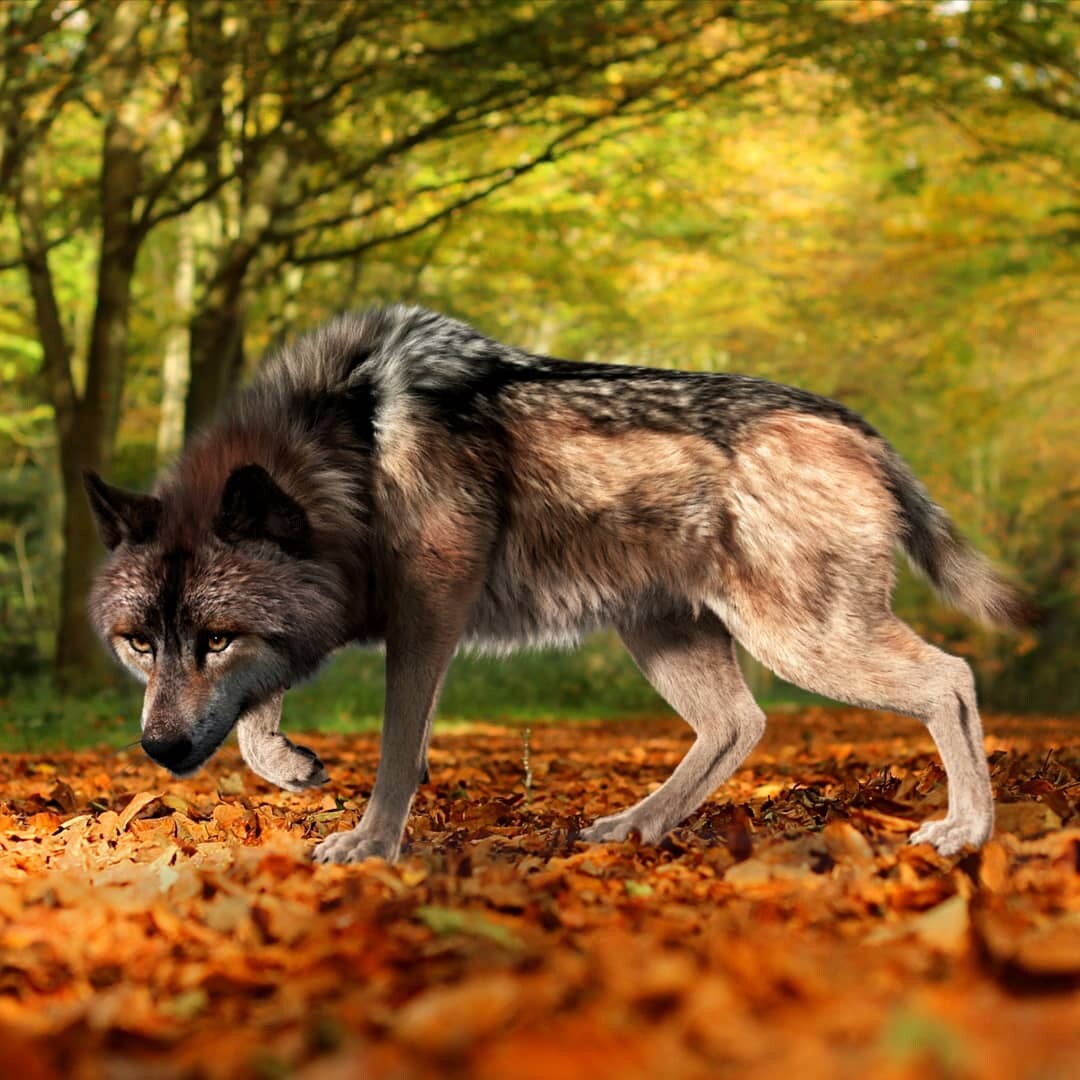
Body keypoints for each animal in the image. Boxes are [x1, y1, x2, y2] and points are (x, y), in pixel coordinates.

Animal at [85, 305, 1032, 863]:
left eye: (216, 638)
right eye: (140, 643)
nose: (159, 750)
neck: (343, 458)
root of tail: (860, 429)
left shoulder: (427, 618)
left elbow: (396, 751)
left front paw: (371, 845)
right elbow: (256, 718)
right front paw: (291, 766)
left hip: (804, 644)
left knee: (950, 679)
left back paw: (968, 830)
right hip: (669, 640)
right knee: (741, 725)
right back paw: (636, 827)